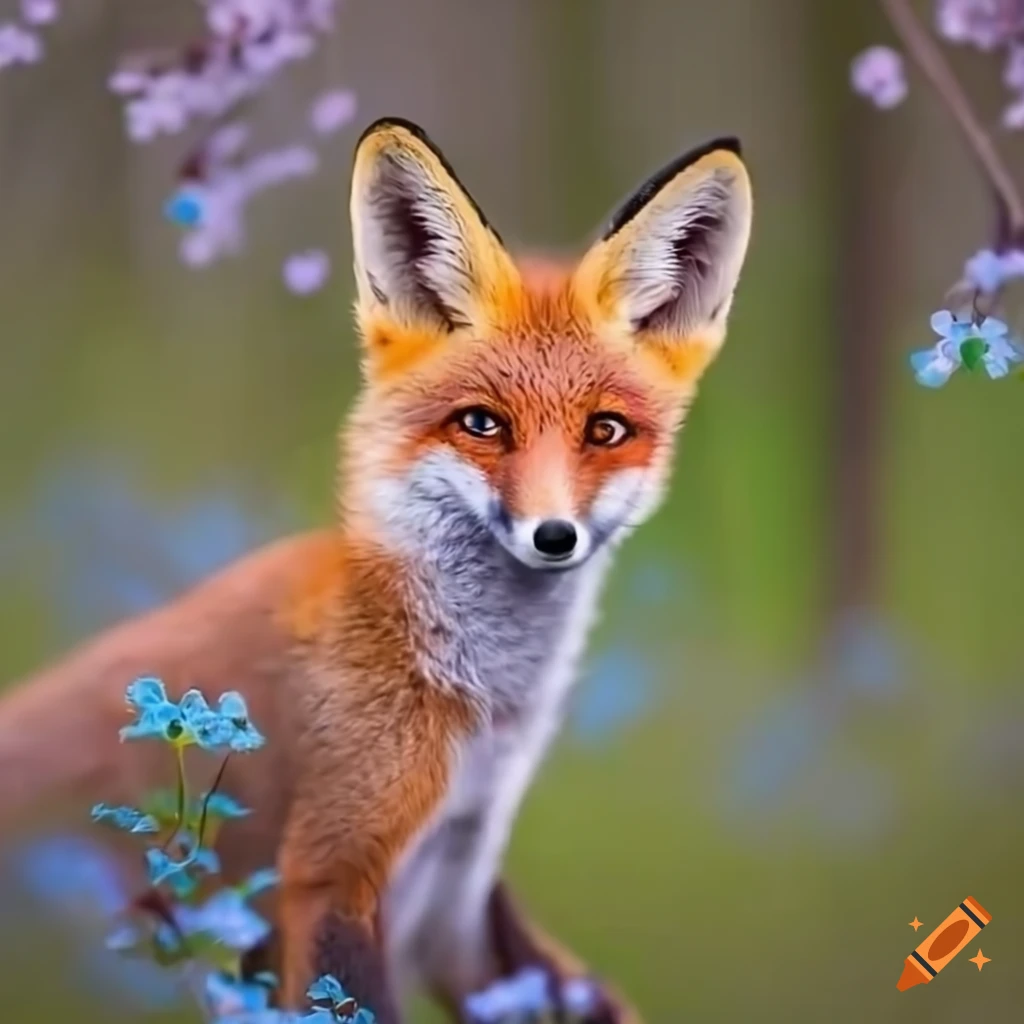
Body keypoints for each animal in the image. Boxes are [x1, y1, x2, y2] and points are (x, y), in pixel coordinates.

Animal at [0, 118, 752, 1022]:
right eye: (481, 424)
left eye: (604, 430)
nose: (554, 536)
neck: (472, 705)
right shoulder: (333, 870)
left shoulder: (458, 894)